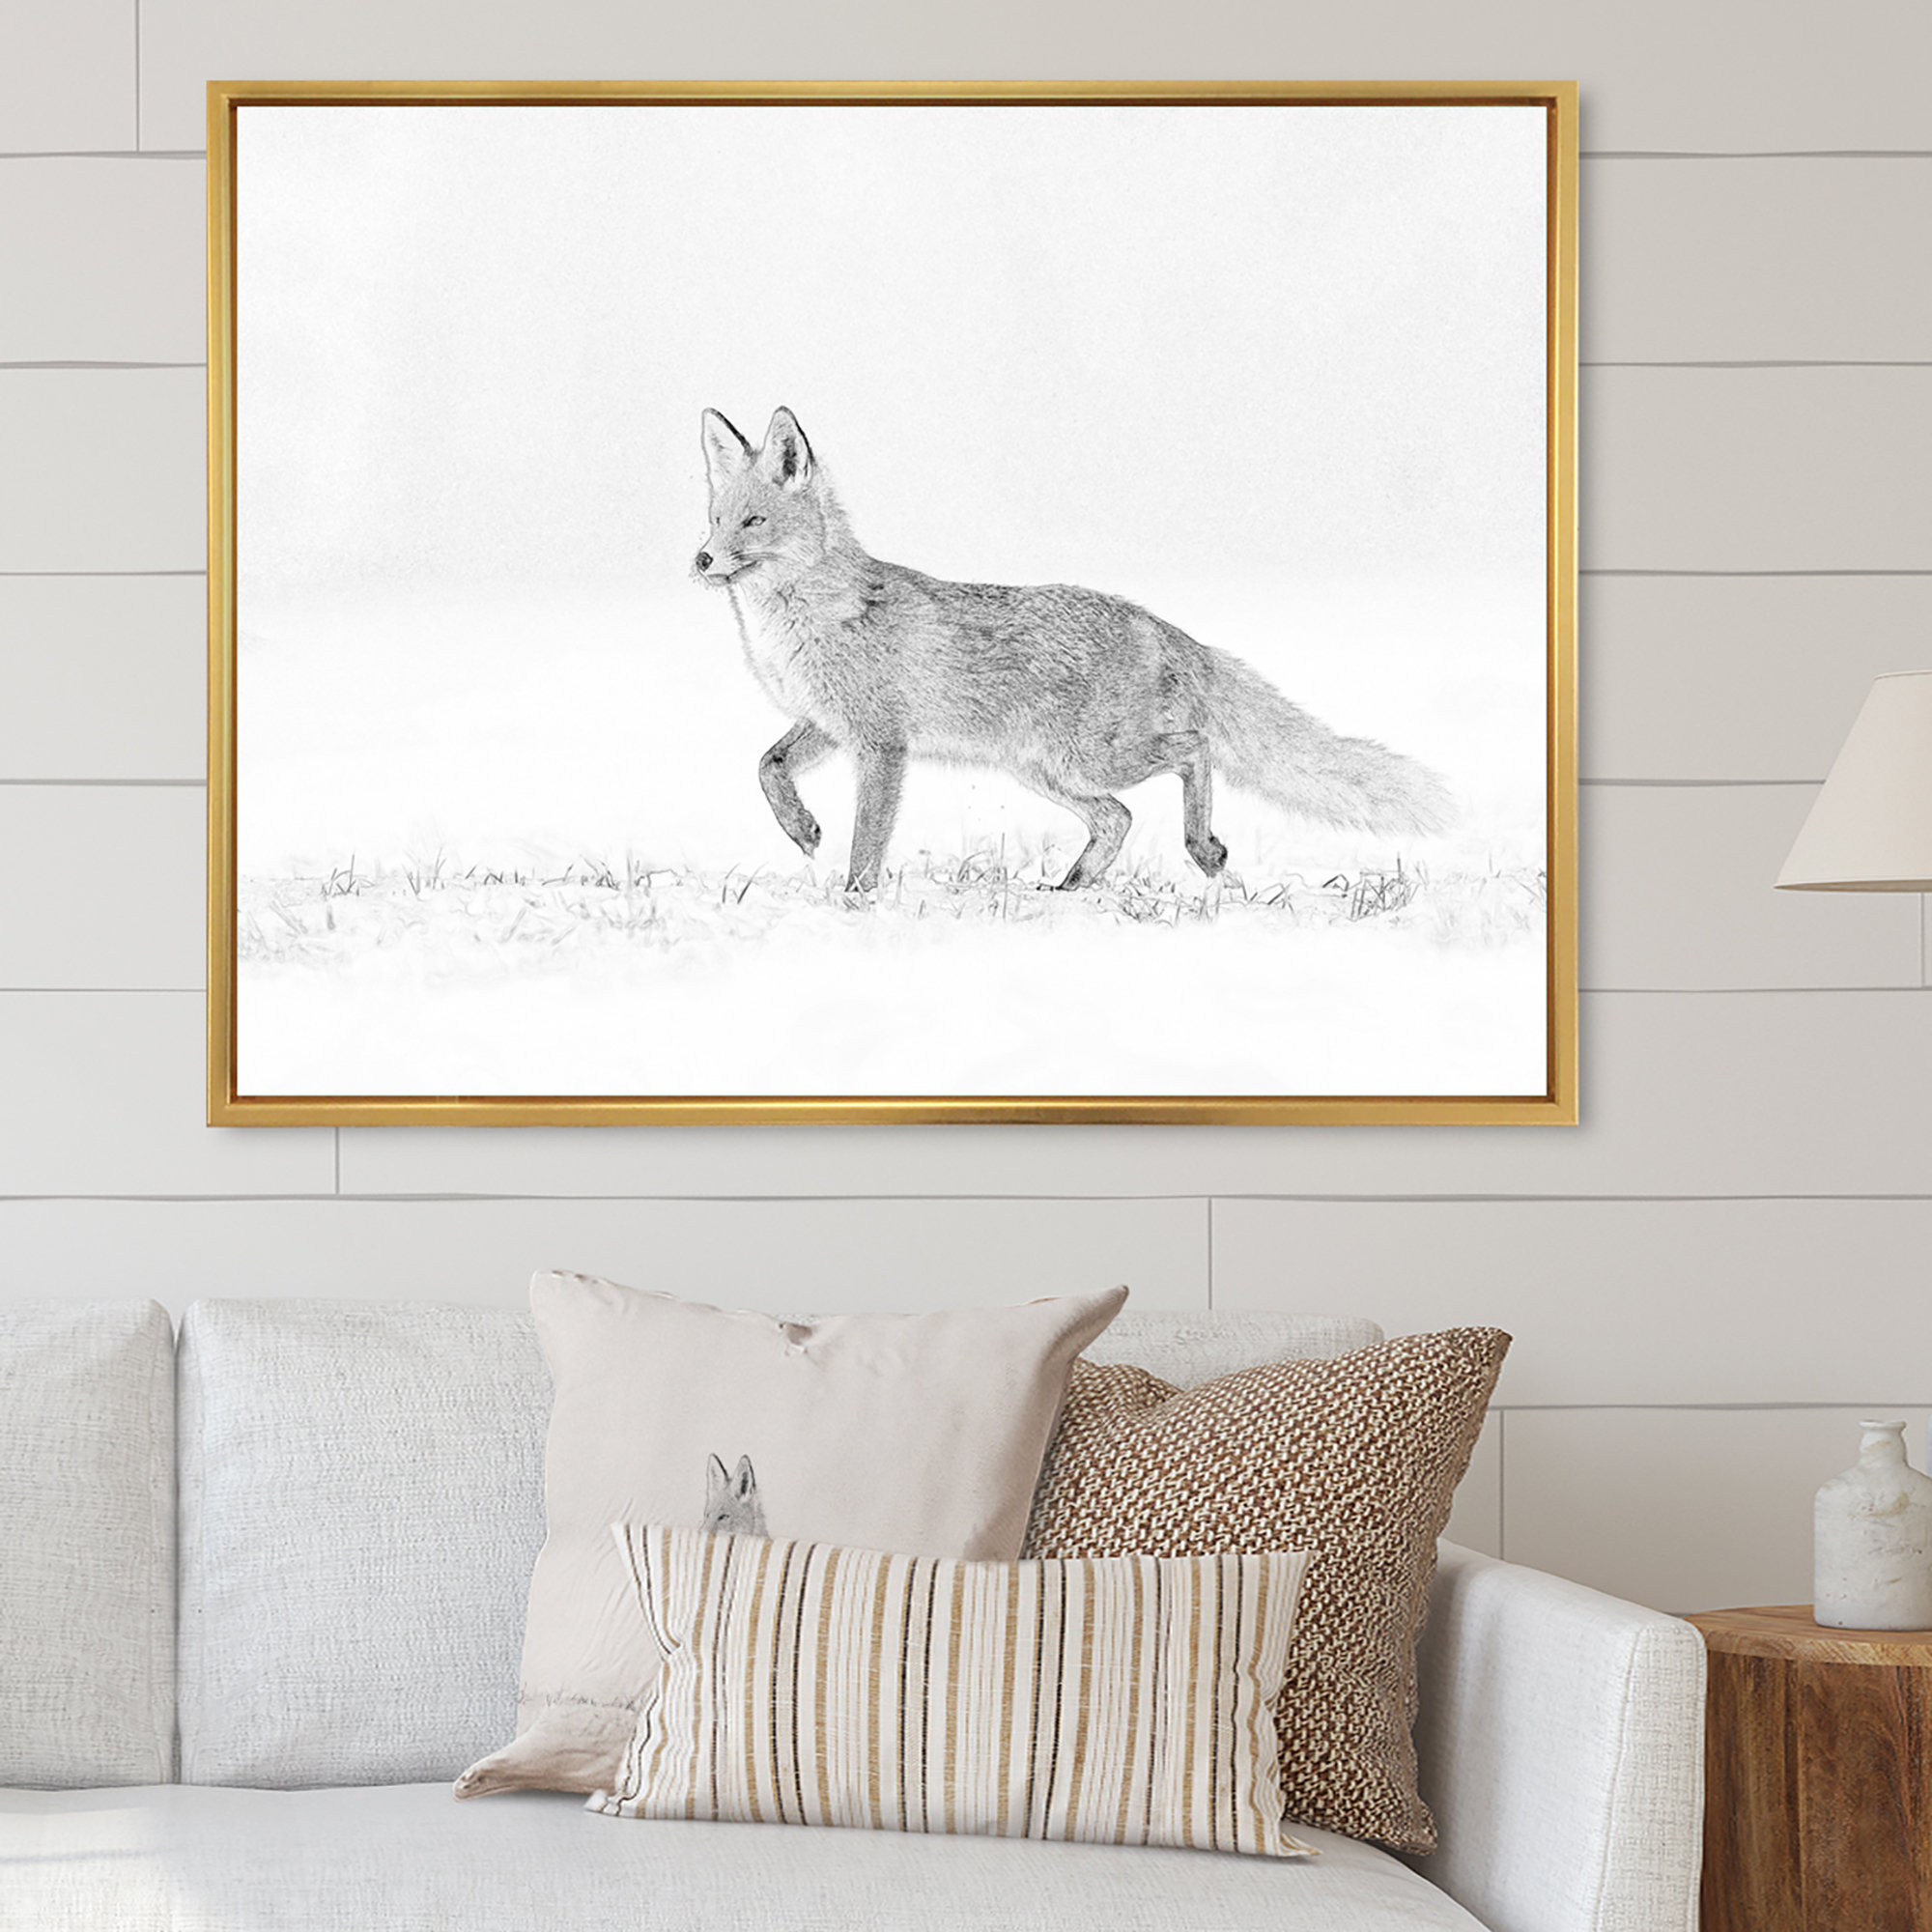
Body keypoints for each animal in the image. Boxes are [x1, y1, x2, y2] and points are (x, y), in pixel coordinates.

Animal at [694, 406, 1451, 893]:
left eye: (753, 522)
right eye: (714, 518)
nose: (700, 559)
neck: (804, 623)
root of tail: (1163, 625)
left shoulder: (881, 743)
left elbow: (867, 840)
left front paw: (856, 903)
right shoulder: (827, 724)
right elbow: (766, 767)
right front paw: (801, 831)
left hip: (1085, 758)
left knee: (1194, 748)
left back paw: (1202, 850)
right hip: (1049, 772)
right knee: (1119, 818)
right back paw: (1074, 887)